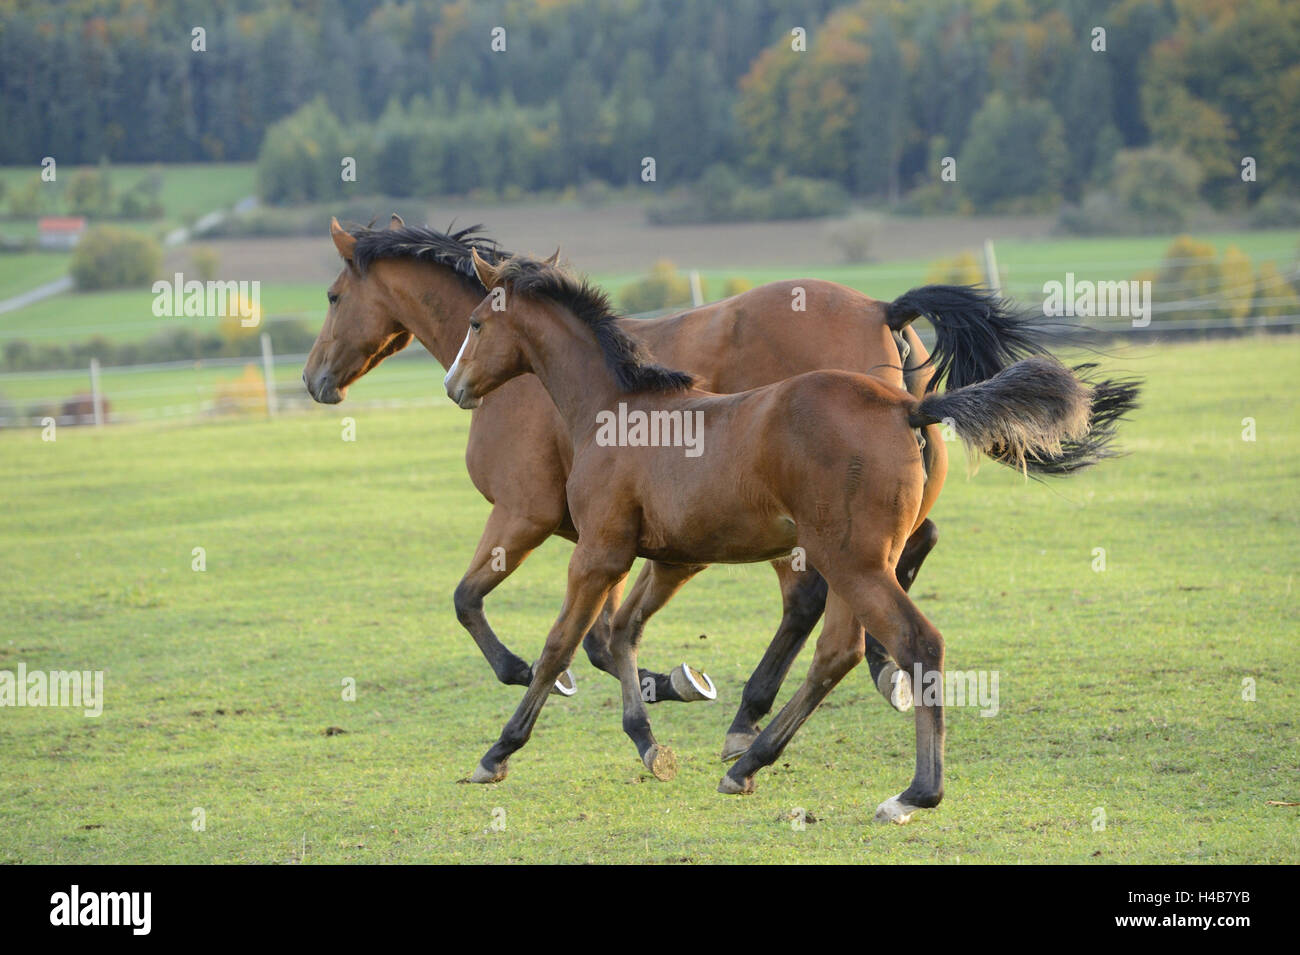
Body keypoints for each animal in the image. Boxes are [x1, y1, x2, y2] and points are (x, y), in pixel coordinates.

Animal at [444, 249, 1138, 823]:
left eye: (476, 323)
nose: (454, 387)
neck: (613, 412)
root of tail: (906, 406)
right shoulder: (664, 556)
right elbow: (616, 637)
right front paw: (651, 741)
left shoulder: (599, 553)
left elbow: (558, 647)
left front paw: (497, 752)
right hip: (858, 561)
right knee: (838, 651)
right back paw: (753, 763)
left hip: (849, 561)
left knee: (914, 642)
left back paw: (911, 794)